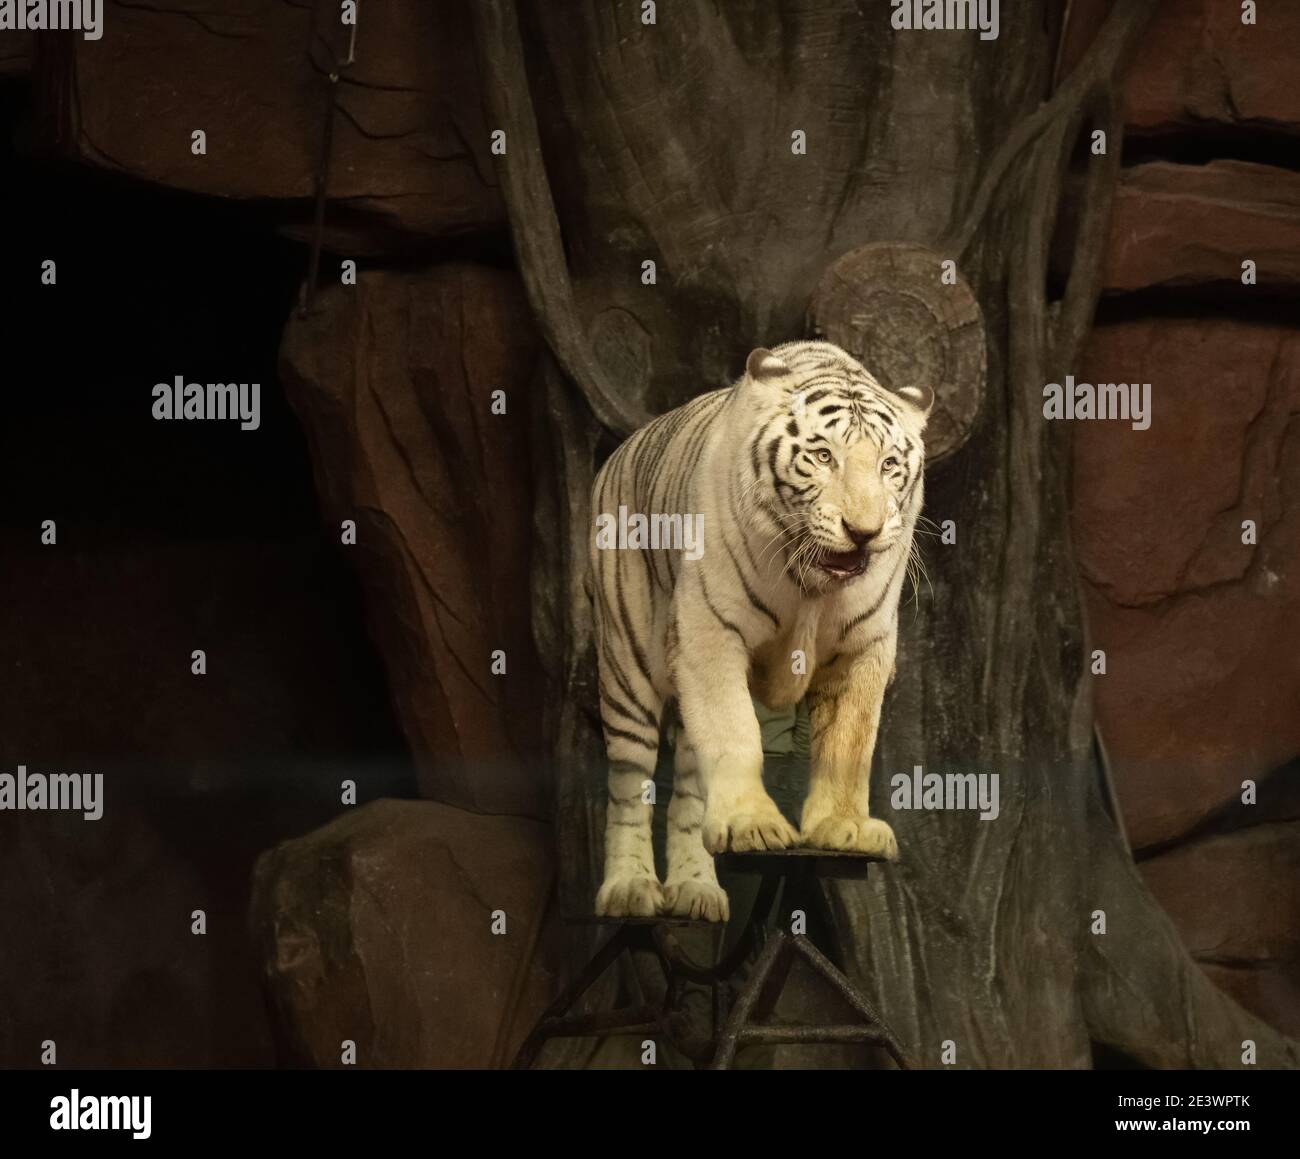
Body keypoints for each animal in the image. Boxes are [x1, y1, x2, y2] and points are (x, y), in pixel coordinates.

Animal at [588, 339, 932, 922]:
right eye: (823, 456)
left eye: (889, 465)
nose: (863, 532)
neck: (813, 583)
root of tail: (618, 452)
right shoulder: (708, 630)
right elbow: (733, 732)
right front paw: (752, 824)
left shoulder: (864, 647)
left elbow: (849, 741)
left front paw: (843, 827)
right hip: (626, 663)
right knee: (629, 781)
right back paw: (630, 888)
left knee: (688, 786)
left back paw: (696, 889)